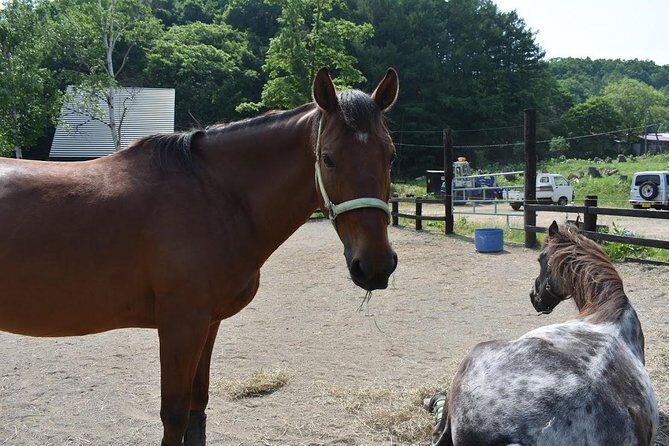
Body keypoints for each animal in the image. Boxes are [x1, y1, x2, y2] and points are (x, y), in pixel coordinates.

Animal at [0, 67, 399, 445]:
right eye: (328, 158)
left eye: (391, 155)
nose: (376, 265)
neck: (213, 195)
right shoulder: (181, 325)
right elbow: (175, 416)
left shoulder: (208, 323)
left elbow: (198, 407)